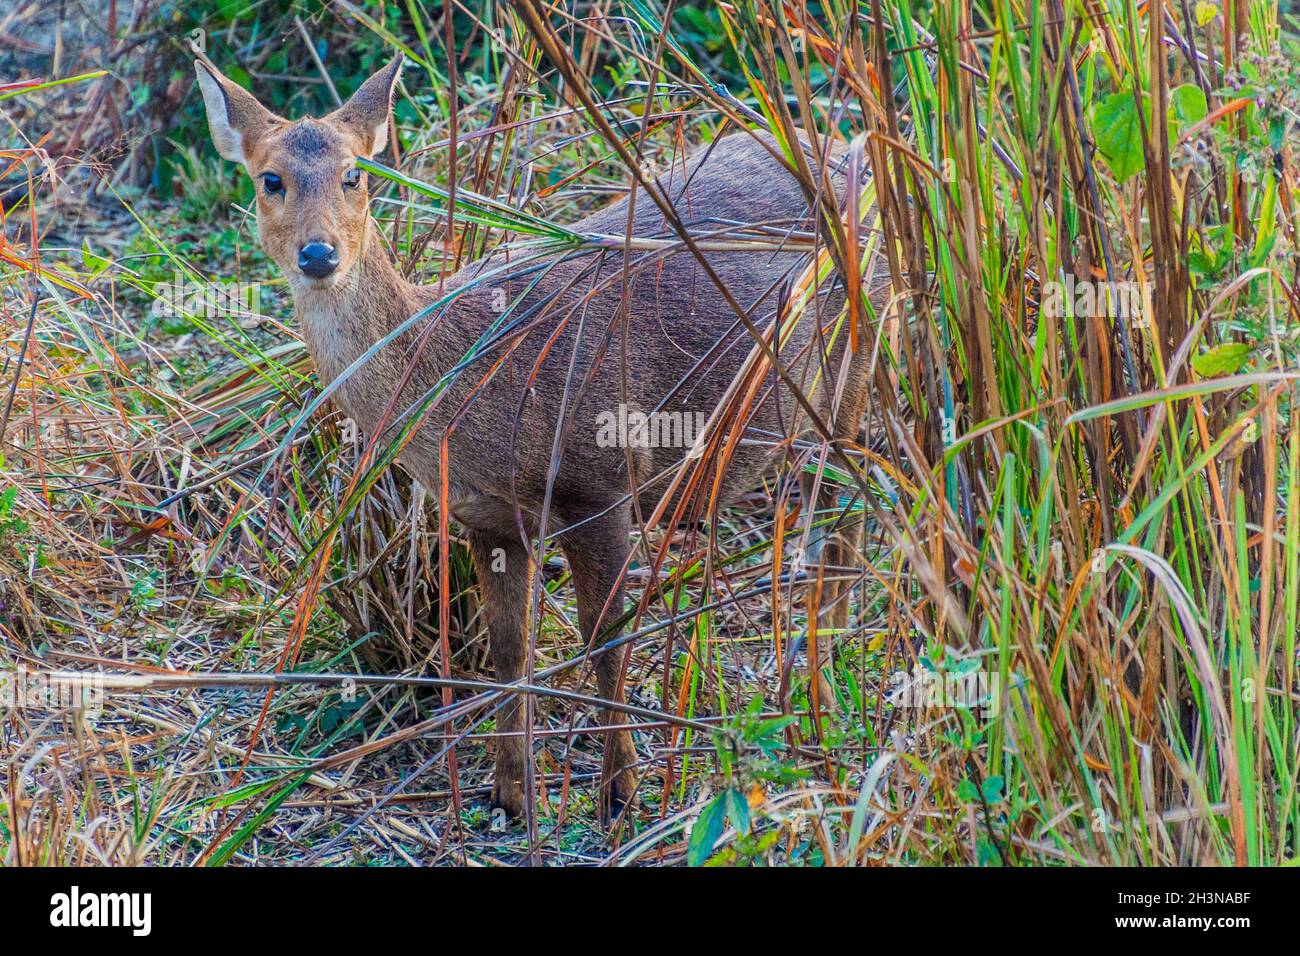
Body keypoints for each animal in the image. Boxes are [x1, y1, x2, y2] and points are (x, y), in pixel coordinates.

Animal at [194, 54, 881, 824]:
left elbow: (605, 641)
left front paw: (619, 793)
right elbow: (508, 651)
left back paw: (828, 684)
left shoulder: (600, 482)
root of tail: (852, 150)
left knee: (845, 516)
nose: (319, 253)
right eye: (269, 179)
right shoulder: (484, 515)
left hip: (851, 365)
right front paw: (511, 794)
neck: (472, 392)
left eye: (354, 175)